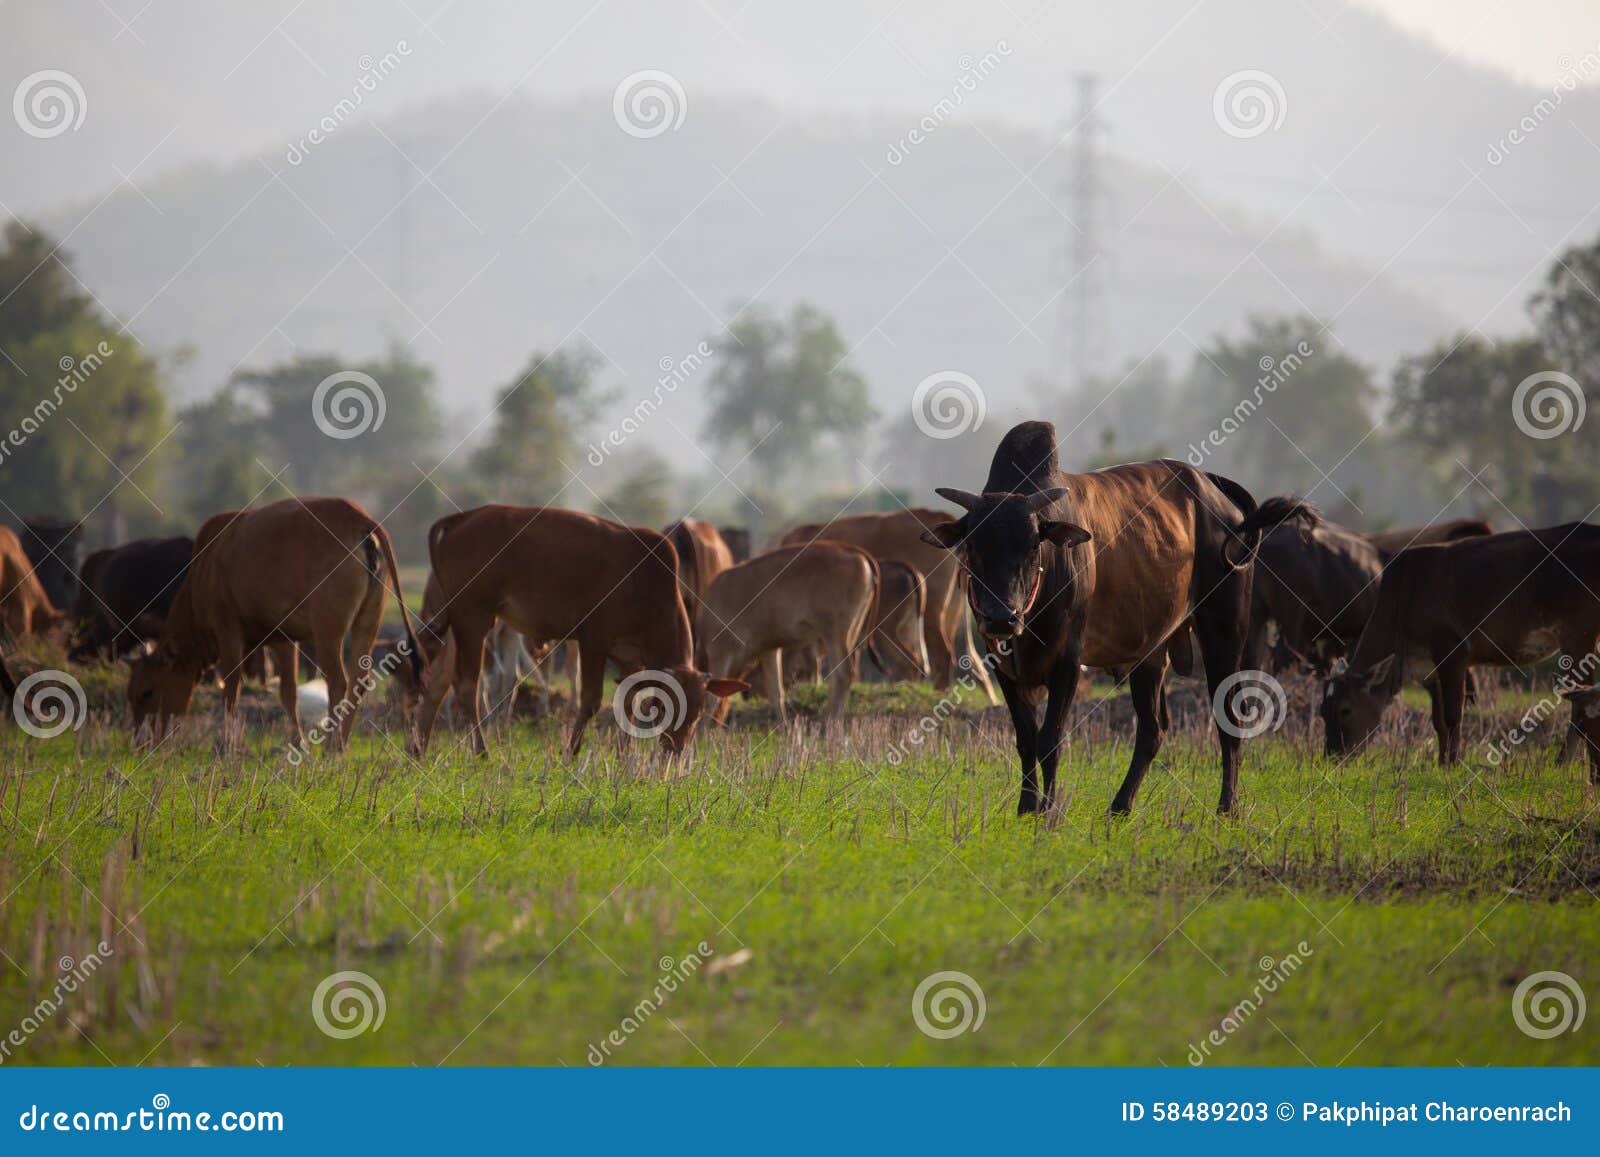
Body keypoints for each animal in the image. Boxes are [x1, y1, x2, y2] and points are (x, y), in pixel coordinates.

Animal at [127, 497, 422, 750]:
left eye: (147, 692)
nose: (142, 743)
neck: (205, 570)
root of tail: (358, 517)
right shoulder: (284, 639)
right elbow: (288, 693)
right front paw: (297, 743)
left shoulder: (228, 631)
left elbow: (231, 690)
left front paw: (226, 745)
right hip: (367, 623)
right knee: (359, 681)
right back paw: (342, 744)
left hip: (328, 631)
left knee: (338, 681)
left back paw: (331, 746)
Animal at [407, 505, 745, 758]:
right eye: (665, 706)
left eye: (699, 711)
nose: (675, 749)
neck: (648, 586)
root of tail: (462, 518)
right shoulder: (593, 641)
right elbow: (591, 701)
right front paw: (570, 753)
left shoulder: (630, 659)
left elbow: (629, 702)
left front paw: (624, 756)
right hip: (473, 617)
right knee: (467, 686)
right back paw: (481, 752)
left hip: (460, 620)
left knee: (439, 681)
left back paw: (418, 749)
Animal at [700, 541, 878, 726]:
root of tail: (852, 550)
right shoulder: (769, 651)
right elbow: (776, 693)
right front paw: (784, 727)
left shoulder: (719, 654)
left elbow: (711, 697)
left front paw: (702, 730)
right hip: (850, 633)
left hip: (834, 632)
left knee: (842, 675)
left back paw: (829, 723)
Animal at [922, 420, 1317, 816]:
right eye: (972, 545)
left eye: (1034, 545)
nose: (1002, 617)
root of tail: (1212, 487)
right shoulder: (1005, 667)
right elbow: (1026, 740)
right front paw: (1026, 809)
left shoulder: (1068, 662)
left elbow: (1050, 740)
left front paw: (1048, 812)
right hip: (1151, 654)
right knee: (1153, 729)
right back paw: (1120, 806)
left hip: (1224, 632)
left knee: (1229, 720)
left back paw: (1226, 807)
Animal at [1323, 523, 1600, 765]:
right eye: (1323, 710)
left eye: (1345, 710)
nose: (1333, 757)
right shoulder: (1429, 672)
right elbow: (1438, 721)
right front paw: (1441, 762)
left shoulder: (1453, 653)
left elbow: (1453, 715)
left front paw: (1453, 763)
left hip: (1578, 636)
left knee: (1580, 701)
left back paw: (1563, 761)